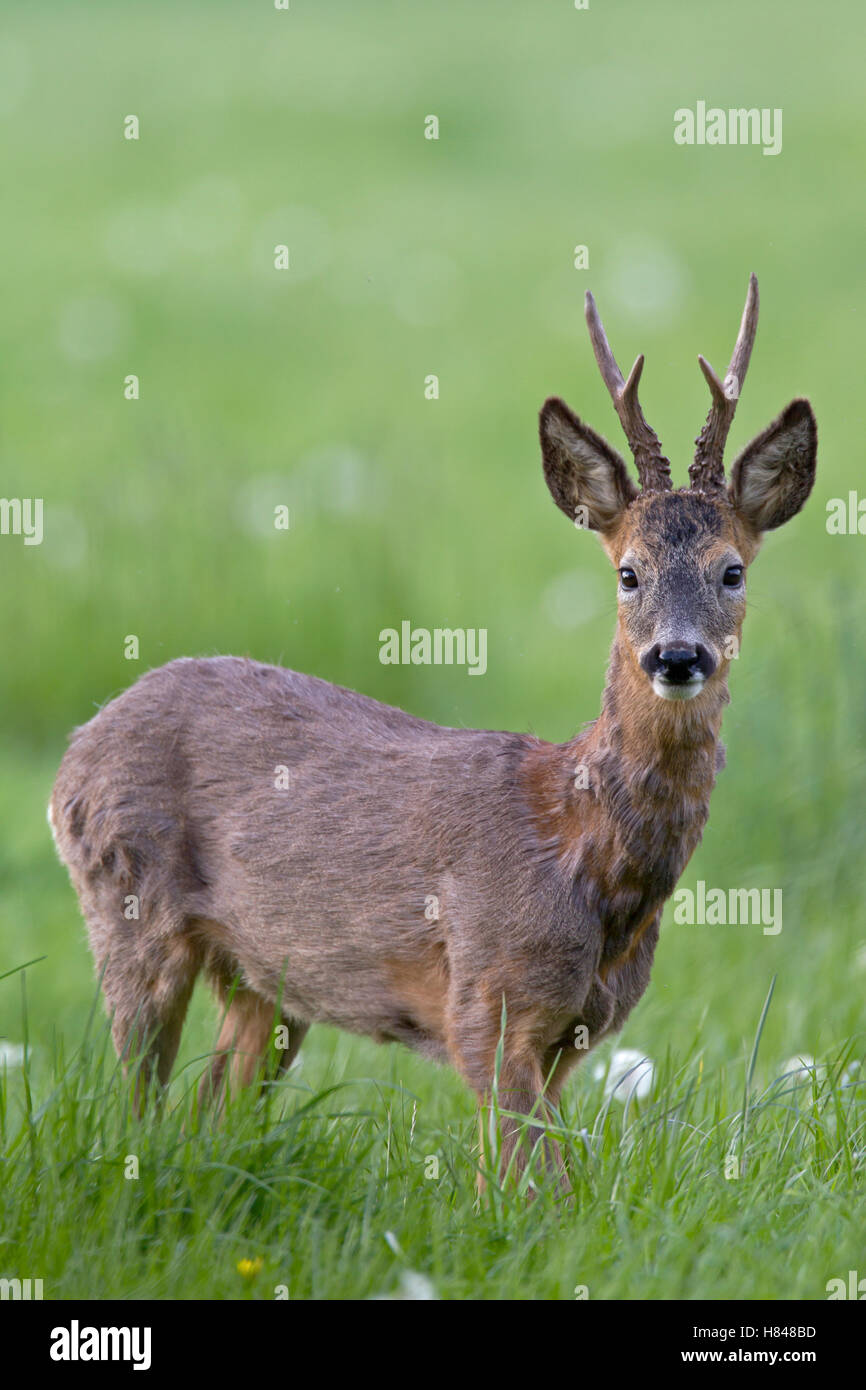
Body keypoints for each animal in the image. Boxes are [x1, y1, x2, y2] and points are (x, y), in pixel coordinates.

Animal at [49, 275, 817, 1185]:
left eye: (731, 571)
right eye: (629, 572)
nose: (676, 655)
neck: (585, 851)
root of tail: (80, 744)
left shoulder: (568, 1037)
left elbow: (516, 1183)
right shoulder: (484, 999)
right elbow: (544, 1189)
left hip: (264, 978)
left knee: (209, 1108)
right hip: (126, 896)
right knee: (138, 1104)